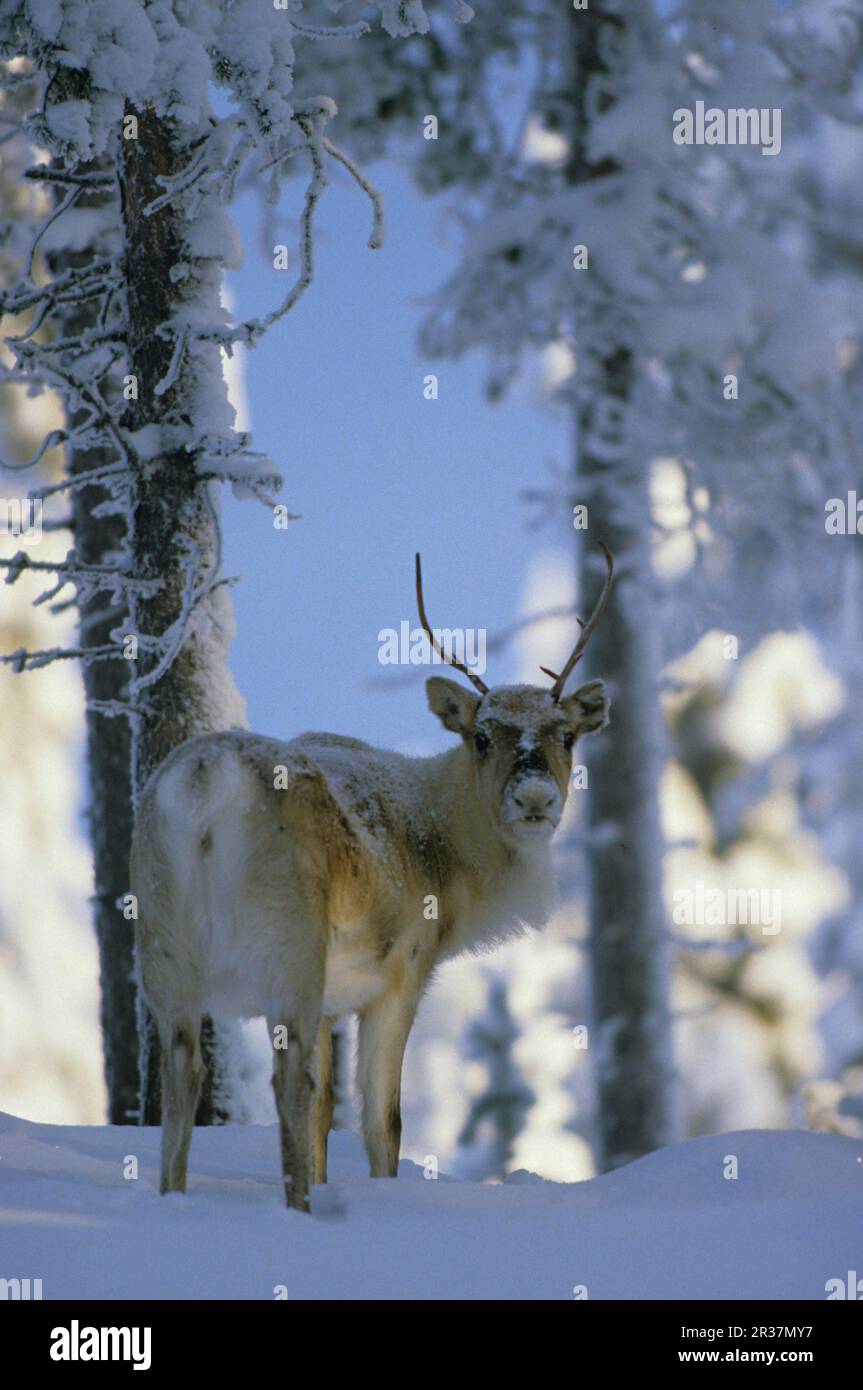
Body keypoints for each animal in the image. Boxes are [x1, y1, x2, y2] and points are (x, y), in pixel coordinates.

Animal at [130, 545, 613, 1211]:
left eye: (566, 735)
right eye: (481, 736)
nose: (535, 798)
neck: (447, 855)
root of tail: (204, 784)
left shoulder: (334, 998)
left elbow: (329, 1109)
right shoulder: (402, 970)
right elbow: (383, 1118)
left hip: (163, 946)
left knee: (184, 1074)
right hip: (288, 947)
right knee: (287, 1082)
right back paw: (300, 1209)